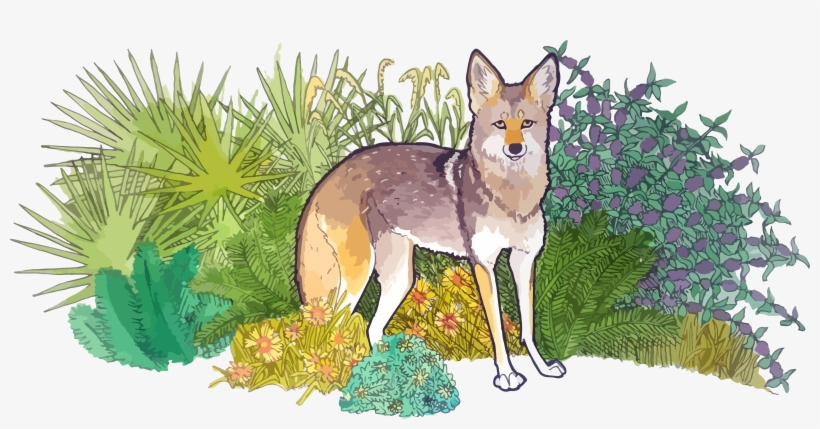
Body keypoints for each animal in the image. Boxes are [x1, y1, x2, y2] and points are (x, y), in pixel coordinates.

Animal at [294, 49, 566, 391]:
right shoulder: (483, 264)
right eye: (501, 124)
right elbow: (498, 329)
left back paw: (388, 375)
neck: (511, 199)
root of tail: (329, 177)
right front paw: (506, 375)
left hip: (400, 279)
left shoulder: (524, 260)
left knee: (372, 329)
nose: (515, 148)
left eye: (527, 123)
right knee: (335, 325)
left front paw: (542, 368)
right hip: (357, 274)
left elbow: (528, 327)